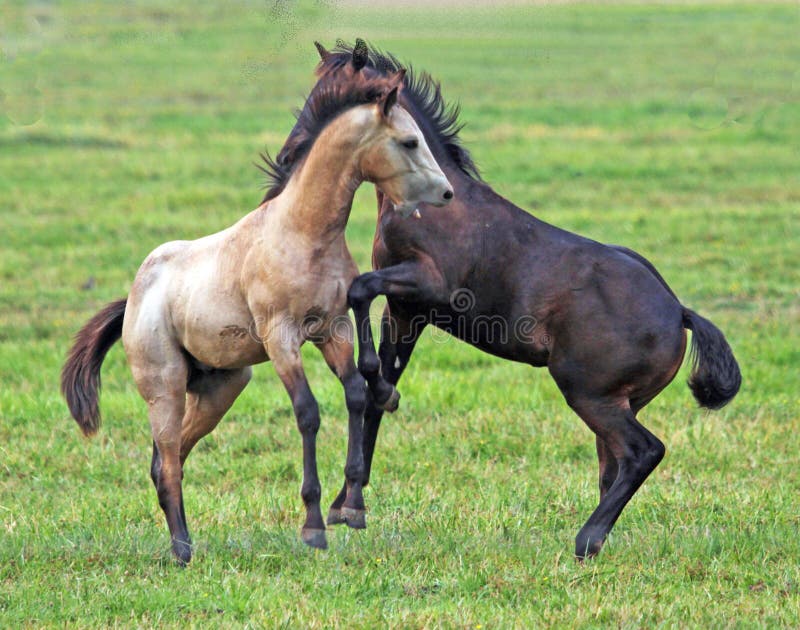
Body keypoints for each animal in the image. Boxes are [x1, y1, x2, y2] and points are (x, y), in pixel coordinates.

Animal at [61, 65, 454, 564]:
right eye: (408, 141)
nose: (446, 192)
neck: (303, 234)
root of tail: (133, 299)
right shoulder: (281, 339)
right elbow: (308, 413)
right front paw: (313, 525)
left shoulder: (333, 329)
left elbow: (356, 395)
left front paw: (352, 507)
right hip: (164, 390)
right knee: (167, 463)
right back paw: (183, 551)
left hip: (221, 389)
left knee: (167, 459)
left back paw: (183, 543)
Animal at [296, 40, 741, 559]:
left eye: (337, 99)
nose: (294, 150)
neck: (432, 201)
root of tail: (679, 313)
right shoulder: (409, 312)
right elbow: (373, 387)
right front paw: (348, 505)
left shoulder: (429, 286)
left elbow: (360, 289)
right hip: (621, 400)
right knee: (612, 465)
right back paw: (597, 537)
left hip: (588, 393)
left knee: (642, 452)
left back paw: (586, 539)